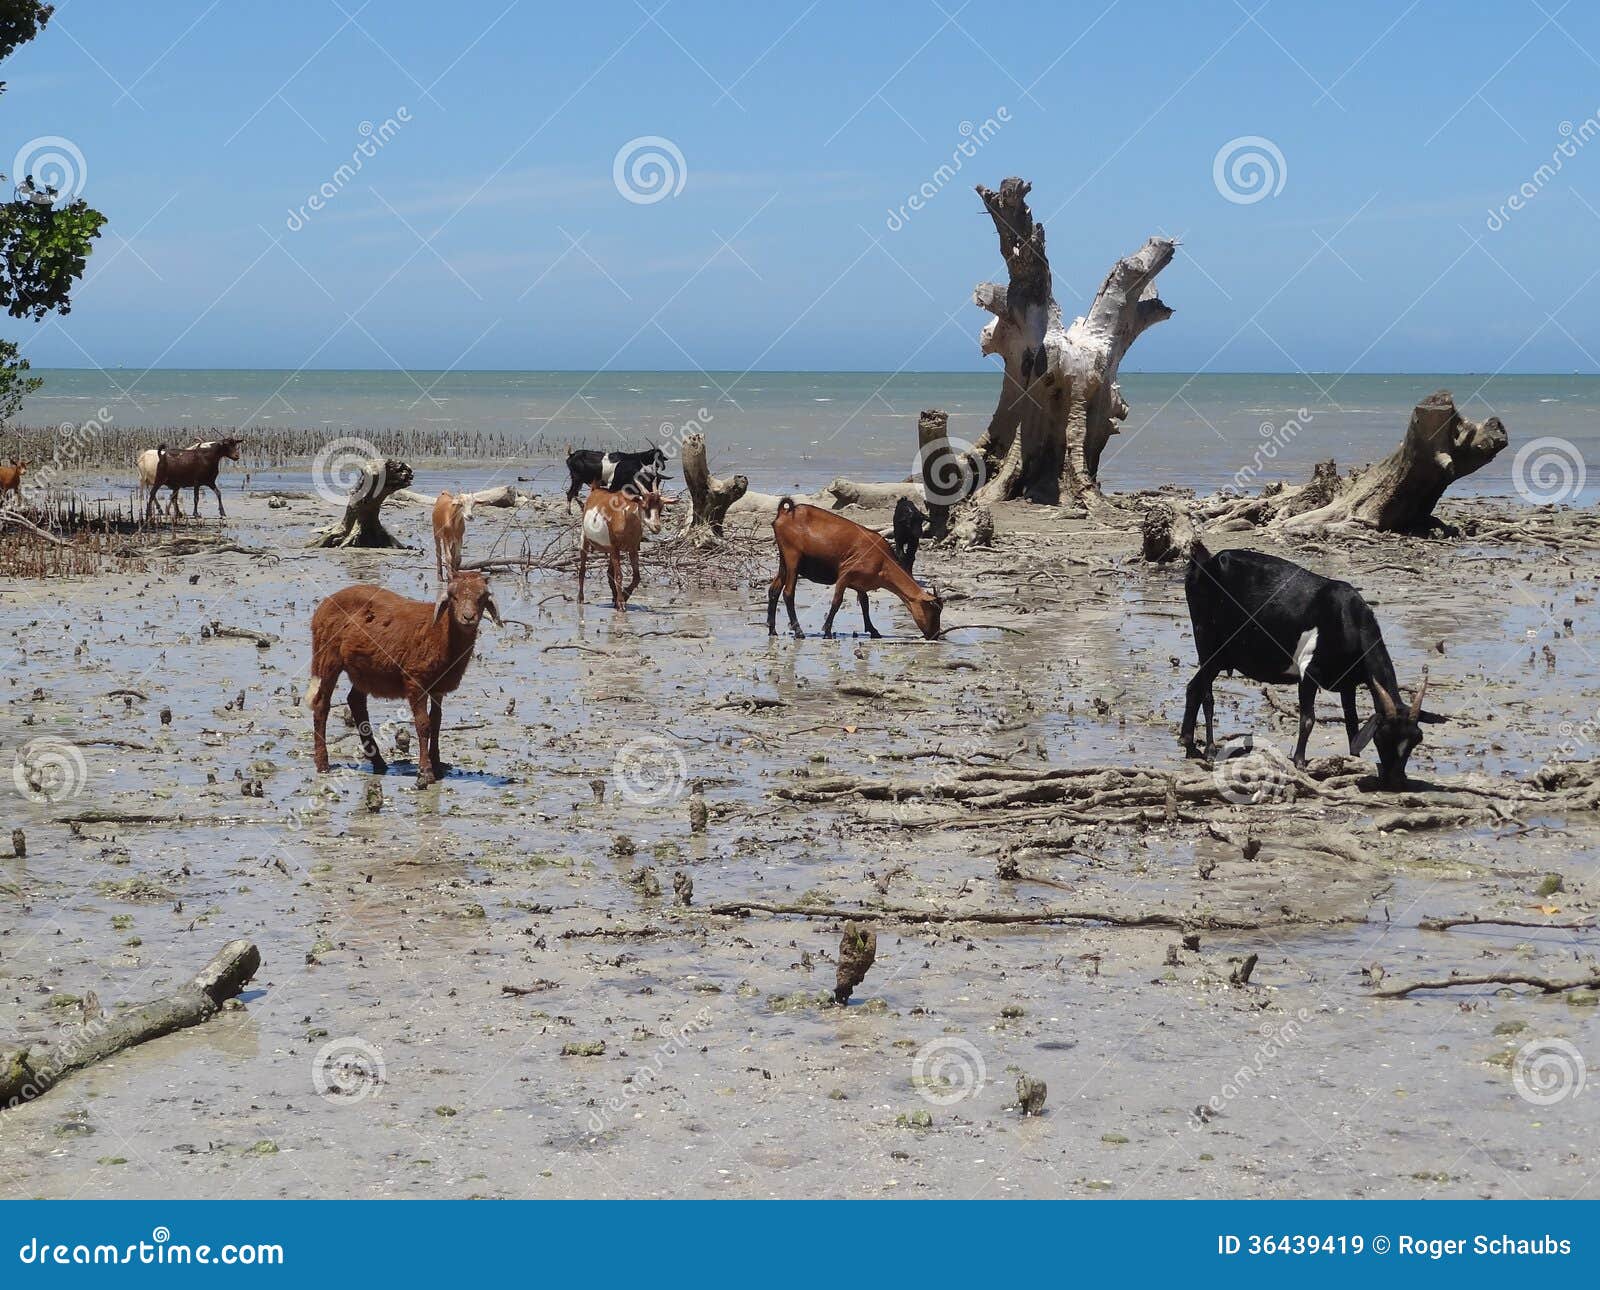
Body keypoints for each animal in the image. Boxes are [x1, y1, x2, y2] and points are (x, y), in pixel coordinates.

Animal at [308, 571, 501, 788]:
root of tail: (324, 603)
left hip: (365, 668)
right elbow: (423, 725)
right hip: (327, 655)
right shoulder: (415, 680)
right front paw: (425, 772)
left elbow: (436, 722)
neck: (441, 634)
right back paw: (323, 763)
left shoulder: (438, 687)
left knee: (356, 702)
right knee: (321, 704)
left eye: (481, 597)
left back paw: (379, 762)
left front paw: (437, 766)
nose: (468, 617)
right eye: (453, 597)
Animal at [768, 498, 943, 640]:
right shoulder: (845, 574)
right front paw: (827, 631)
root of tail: (786, 512)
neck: (883, 561)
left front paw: (873, 631)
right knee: (788, 593)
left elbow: (865, 604)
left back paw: (772, 629)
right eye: (934, 609)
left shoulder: (861, 582)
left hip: (784, 561)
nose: (935, 635)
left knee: (774, 590)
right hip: (792, 557)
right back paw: (798, 631)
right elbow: (837, 602)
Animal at [1181, 537, 1444, 789]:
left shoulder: (1348, 683)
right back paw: (1210, 750)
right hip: (1207, 642)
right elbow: (1308, 719)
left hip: (1222, 655)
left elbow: (1352, 726)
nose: (1397, 781)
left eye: (1416, 739)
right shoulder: (1310, 671)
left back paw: (1188, 743)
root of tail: (1206, 563)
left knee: (1193, 687)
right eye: (1382, 737)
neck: (1348, 620)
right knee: (1207, 694)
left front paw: (1354, 761)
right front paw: (1299, 762)